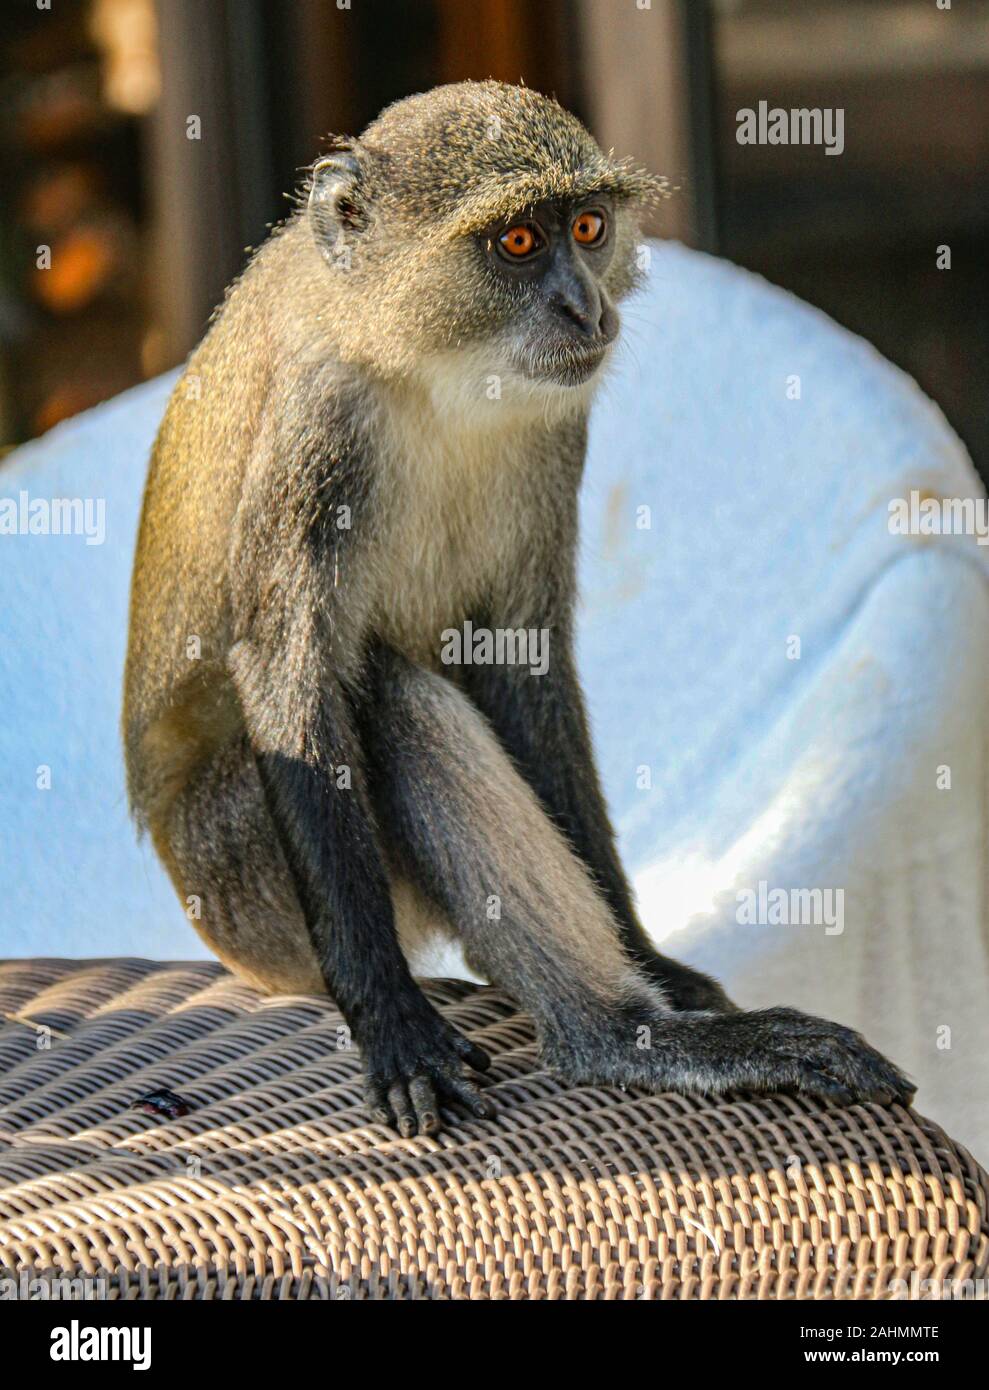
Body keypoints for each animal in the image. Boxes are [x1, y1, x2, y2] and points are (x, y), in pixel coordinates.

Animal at [124, 81, 914, 1137]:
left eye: (585, 228)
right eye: (517, 243)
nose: (588, 305)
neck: (426, 364)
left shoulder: (555, 430)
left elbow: (519, 664)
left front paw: (648, 956)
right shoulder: (315, 428)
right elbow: (290, 675)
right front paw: (390, 1018)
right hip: (242, 879)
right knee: (387, 694)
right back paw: (615, 1037)